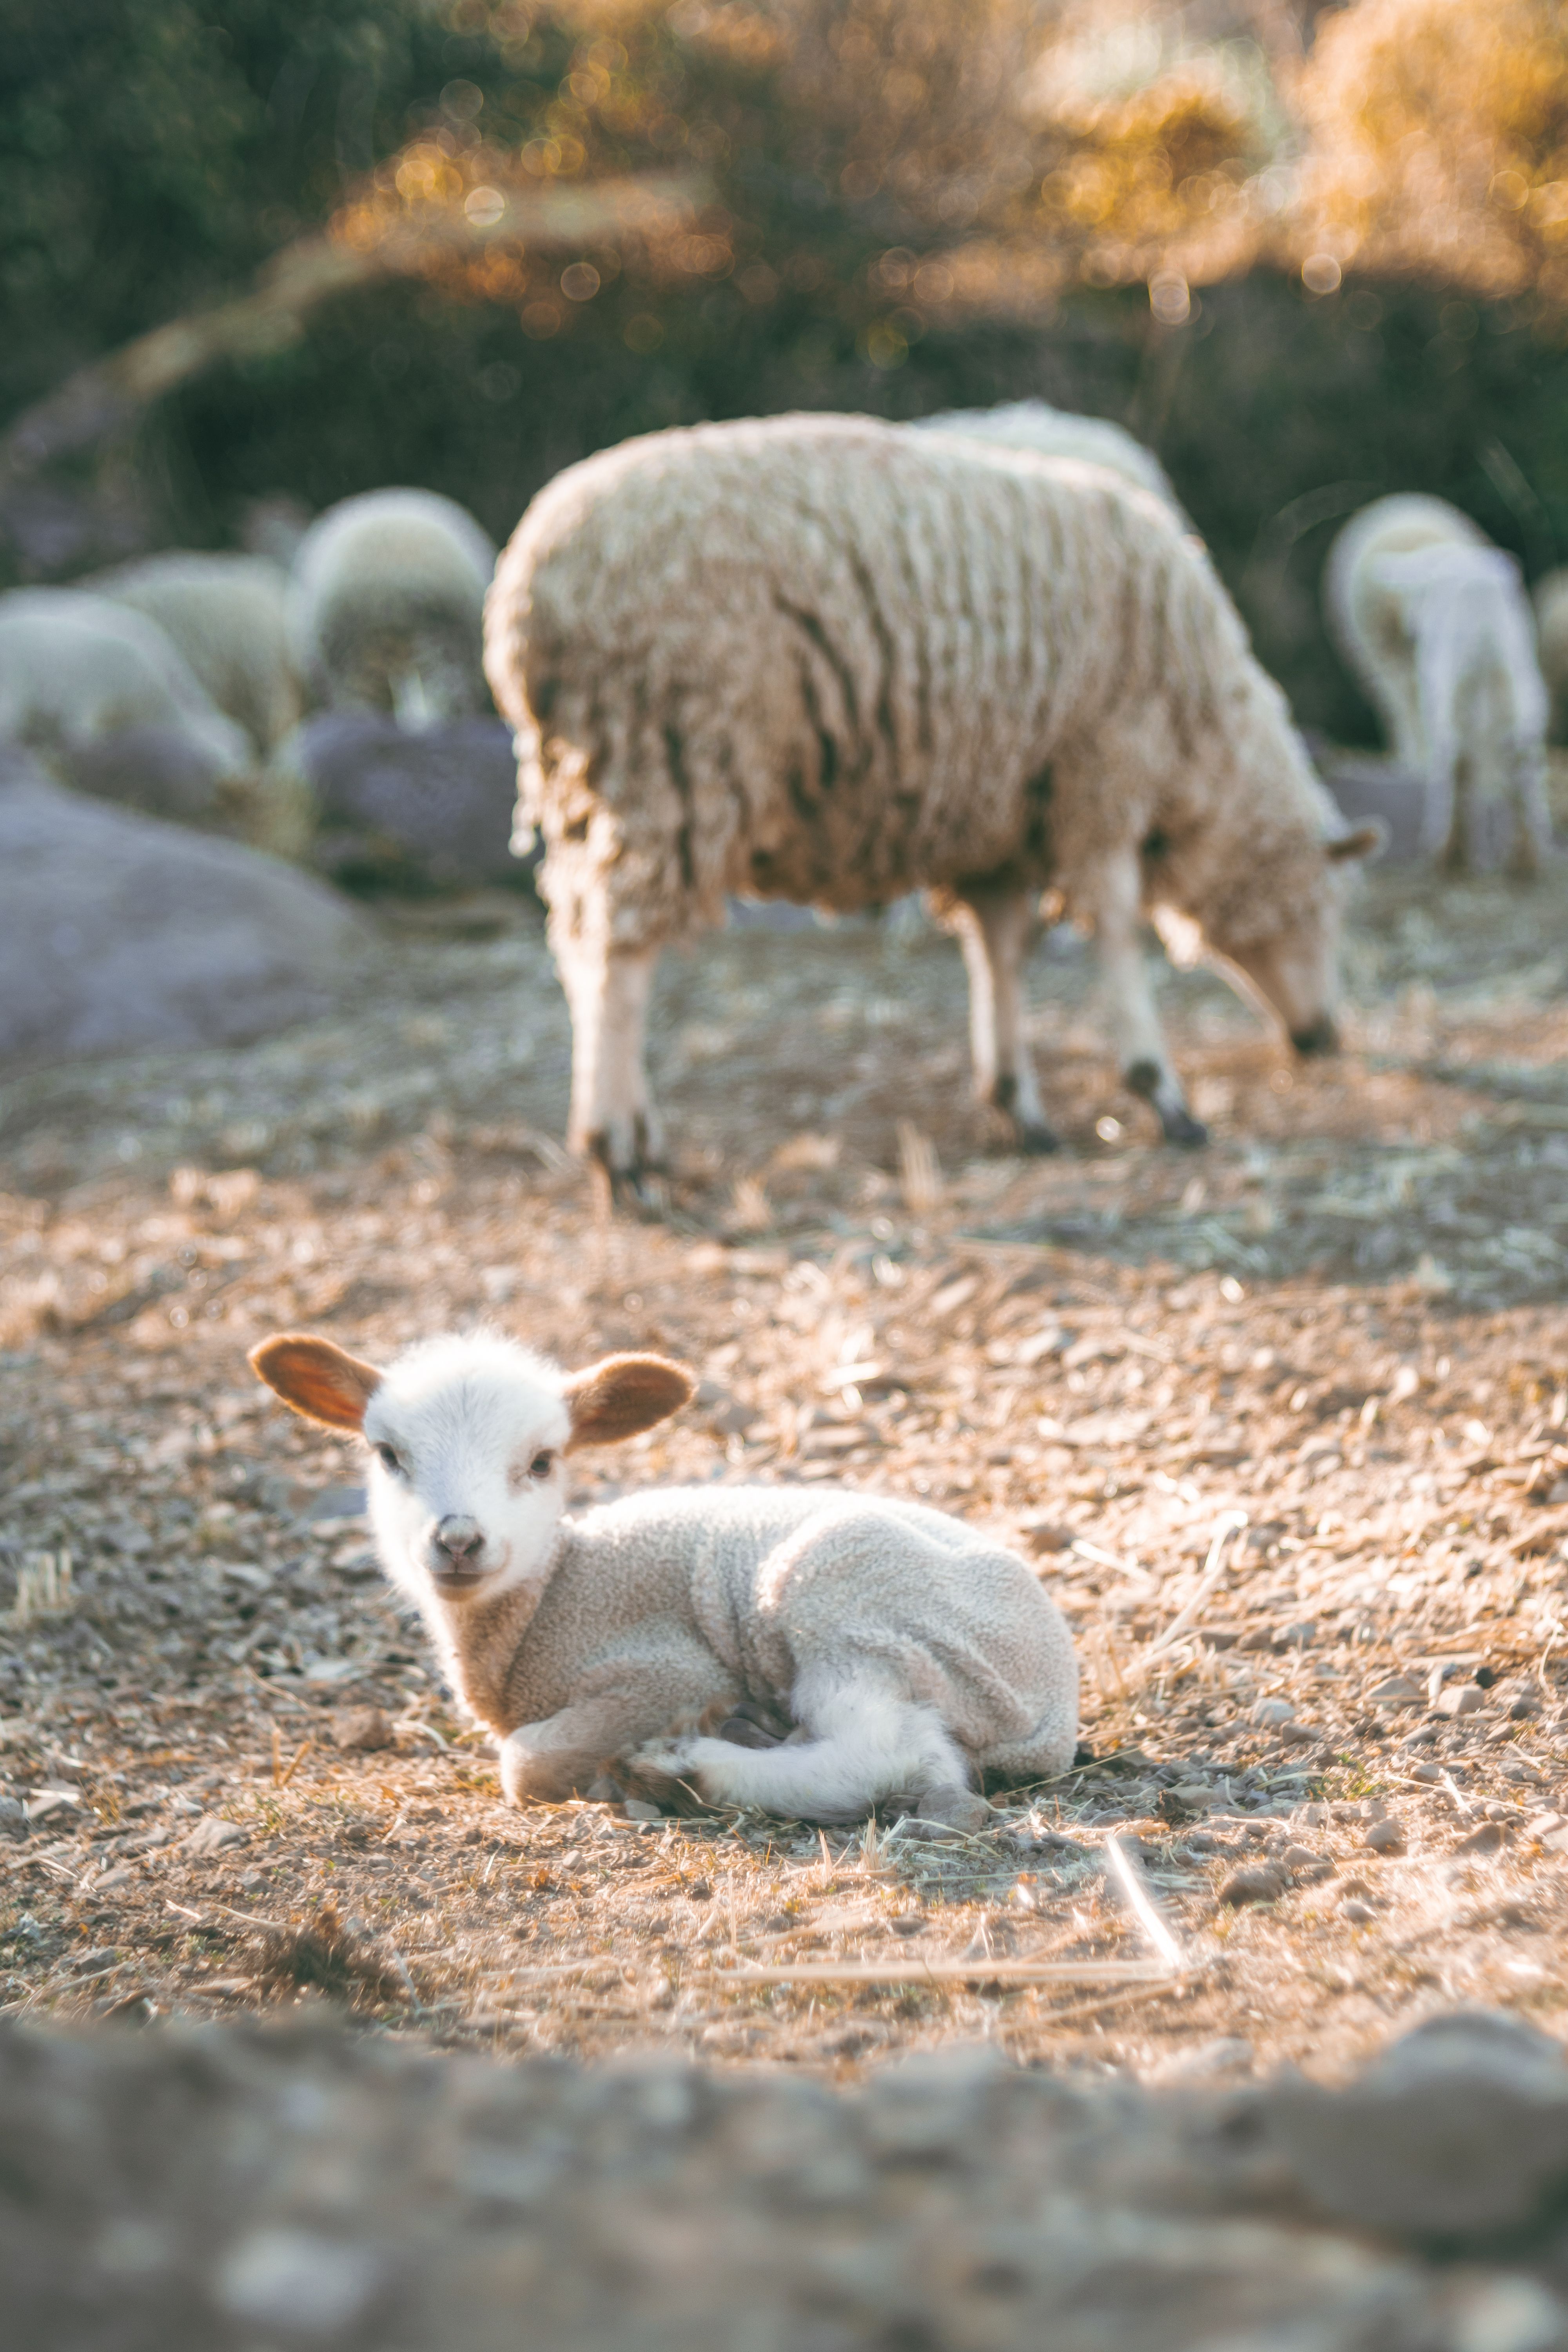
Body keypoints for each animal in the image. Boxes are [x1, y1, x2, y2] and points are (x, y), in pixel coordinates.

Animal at [249, 1328, 1079, 1821]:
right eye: (388, 1455)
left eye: (542, 1462)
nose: (457, 1540)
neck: (554, 1592)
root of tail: (1055, 1711)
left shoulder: (664, 1669)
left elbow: (525, 1763)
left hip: (842, 1592)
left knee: (885, 1756)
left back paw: (685, 1770)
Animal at [483, 412, 1381, 1178]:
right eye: (1320, 910)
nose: (1322, 1039)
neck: (1210, 741)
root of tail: (525, 601)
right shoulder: (1099, 781)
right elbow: (1118, 936)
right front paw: (1161, 1091)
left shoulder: (1001, 819)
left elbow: (1000, 952)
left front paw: (1019, 1104)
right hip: (671, 762)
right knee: (619, 952)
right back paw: (616, 1150)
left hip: (594, 786)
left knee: (580, 946)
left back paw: (635, 1133)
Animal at [1324, 493, 1551, 875]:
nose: (1413, 624)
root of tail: (1481, 603)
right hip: (1515, 672)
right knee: (1520, 752)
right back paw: (1525, 856)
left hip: (1453, 675)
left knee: (1456, 753)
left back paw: (1450, 850)